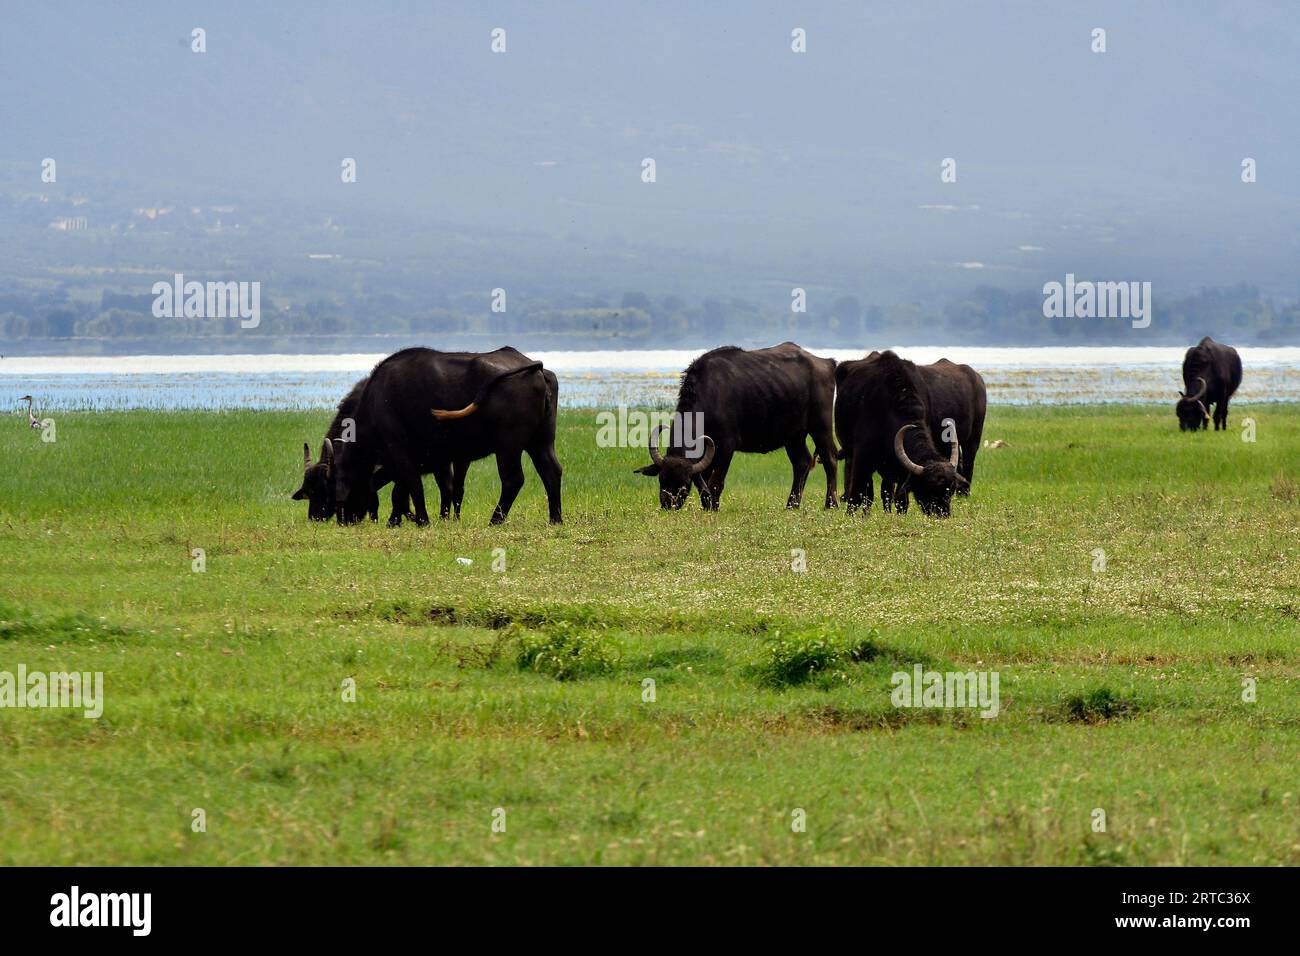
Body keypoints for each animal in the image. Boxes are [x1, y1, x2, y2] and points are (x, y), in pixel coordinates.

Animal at [331, 347, 562, 525]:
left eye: (336, 487)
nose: (344, 520)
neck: (376, 400)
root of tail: (535, 368)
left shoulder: (398, 448)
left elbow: (412, 486)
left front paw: (422, 520)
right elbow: (403, 490)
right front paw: (397, 521)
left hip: (508, 445)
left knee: (513, 479)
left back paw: (494, 520)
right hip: (541, 440)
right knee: (551, 471)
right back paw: (555, 519)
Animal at [635, 342, 838, 510]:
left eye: (684, 484)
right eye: (662, 479)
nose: (667, 504)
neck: (710, 394)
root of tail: (827, 363)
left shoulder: (726, 446)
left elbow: (715, 482)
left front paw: (714, 508)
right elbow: (704, 483)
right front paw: (707, 507)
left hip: (821, 426)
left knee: (830, 459)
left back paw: (831, 504)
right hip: (794, 436)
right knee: (802, 462)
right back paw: (791, 505)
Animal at [835, 350, 986, 518]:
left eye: (950, 490)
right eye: (929, 489)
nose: (943, 514)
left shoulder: (902, 471)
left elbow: (901, 500)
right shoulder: (862, 457)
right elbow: (856, 496)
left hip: (973, 441)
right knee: (870, 492)